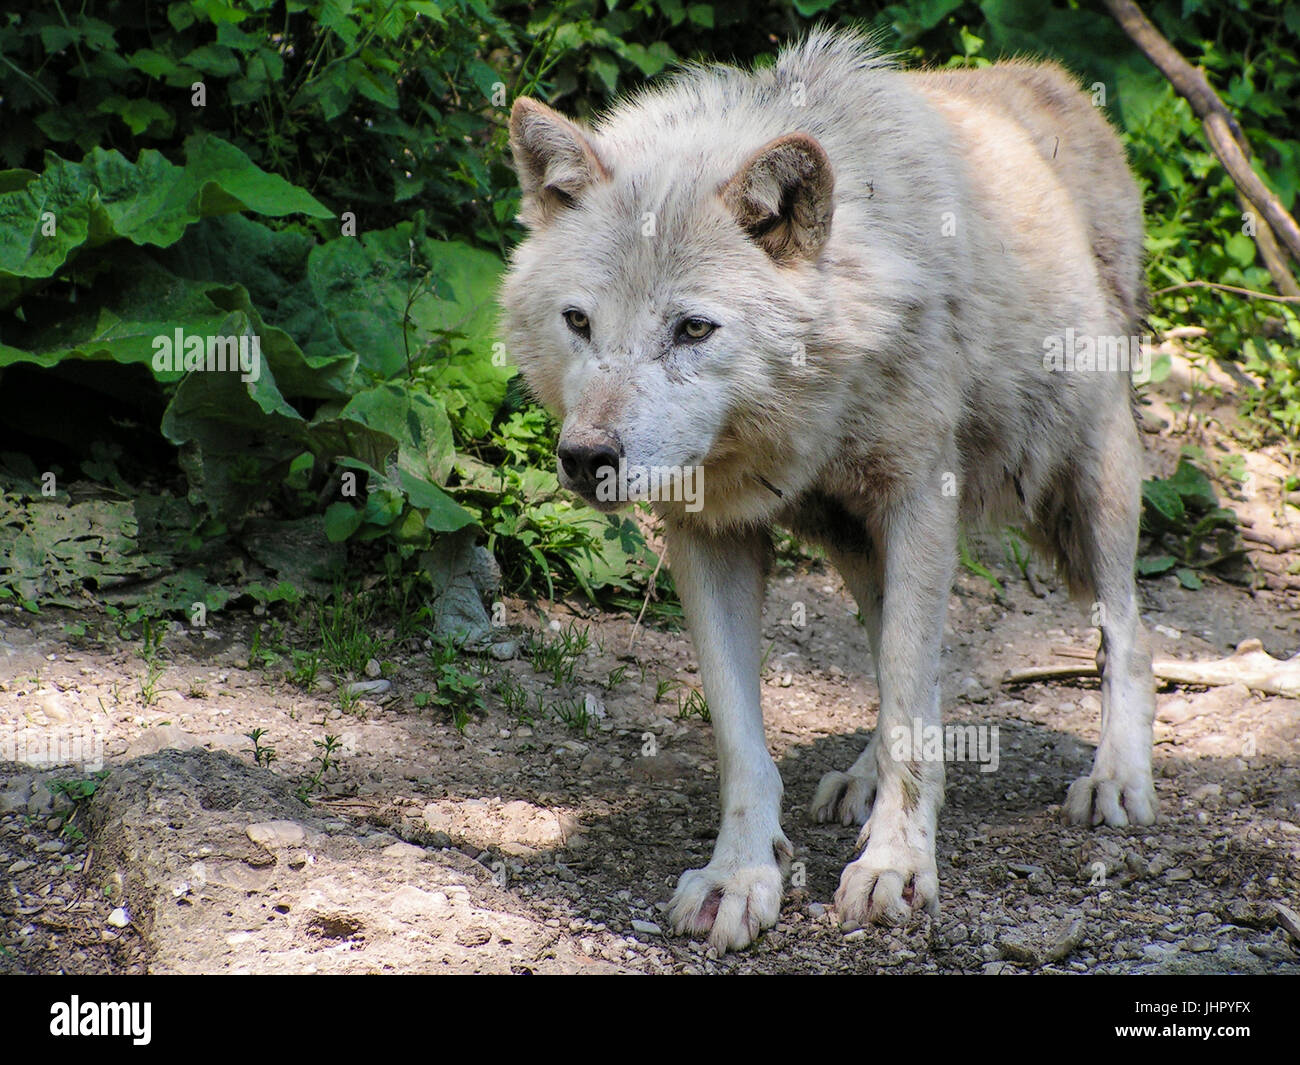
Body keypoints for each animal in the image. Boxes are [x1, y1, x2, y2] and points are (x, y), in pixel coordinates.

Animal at [500, 30, 1156, 953]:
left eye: (692, 328)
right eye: (578, 322)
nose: (586, 455)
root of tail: (1048, 78)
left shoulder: (920, 501)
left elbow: (912, 712)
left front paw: (896, 866)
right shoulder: (707, 536)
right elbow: (747, 740)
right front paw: (741, 876)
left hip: (1086, 478)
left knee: (1127, 634)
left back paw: (1117, 780)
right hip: (854, 543)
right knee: (900, 668)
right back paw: (861, 779)